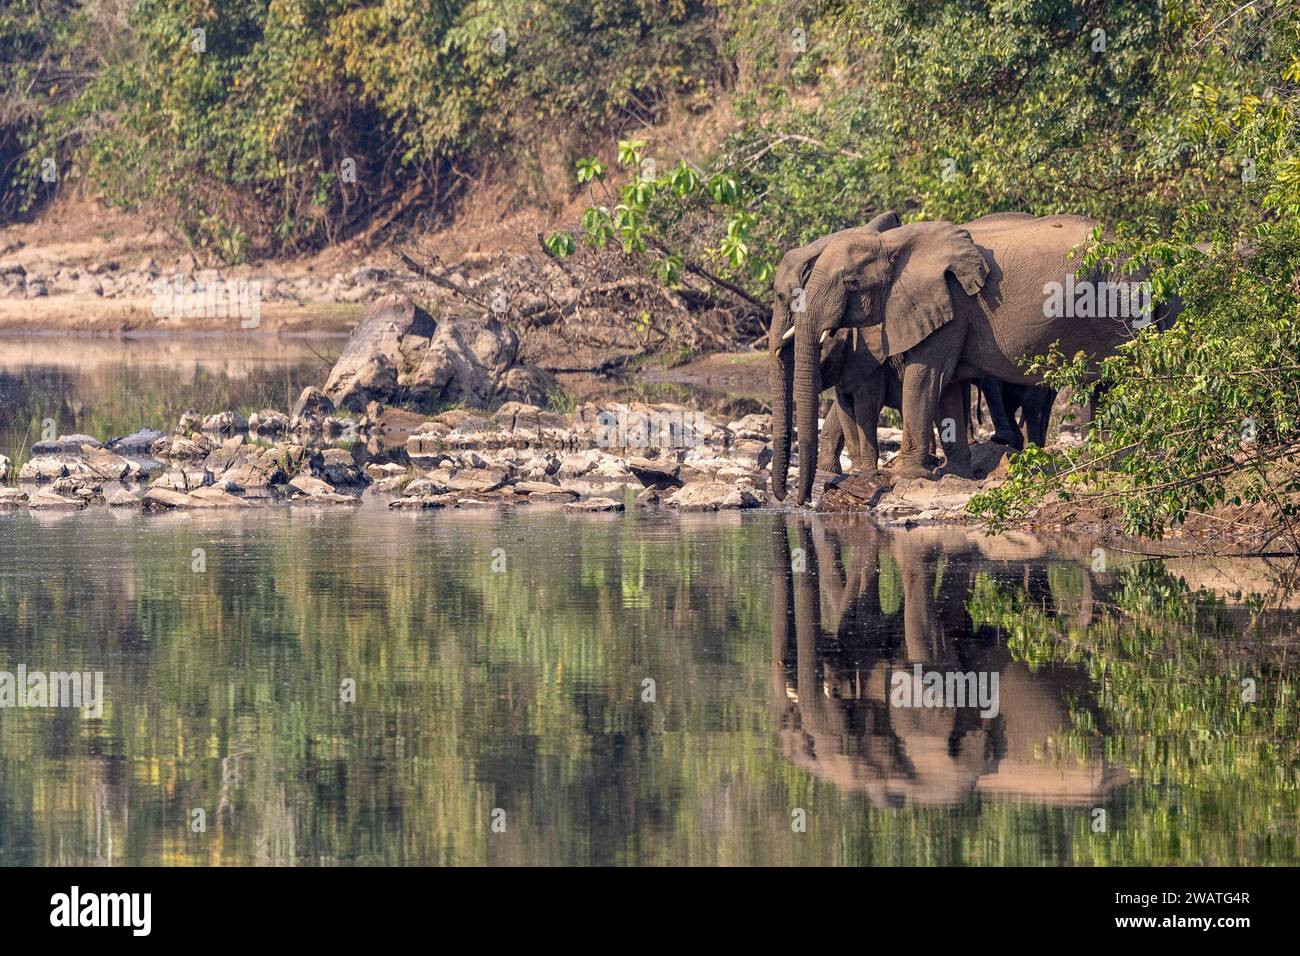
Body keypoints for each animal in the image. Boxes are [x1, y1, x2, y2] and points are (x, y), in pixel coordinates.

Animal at [788, 212, 1168, 504]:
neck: (892, 242)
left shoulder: (949, 305)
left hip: (1120, 302)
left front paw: (906, 476)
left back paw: (1114, 463)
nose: (802, 501)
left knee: (1114, 381)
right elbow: (946, 388)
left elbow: (925, 376)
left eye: (851, 282)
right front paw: (954, 474)